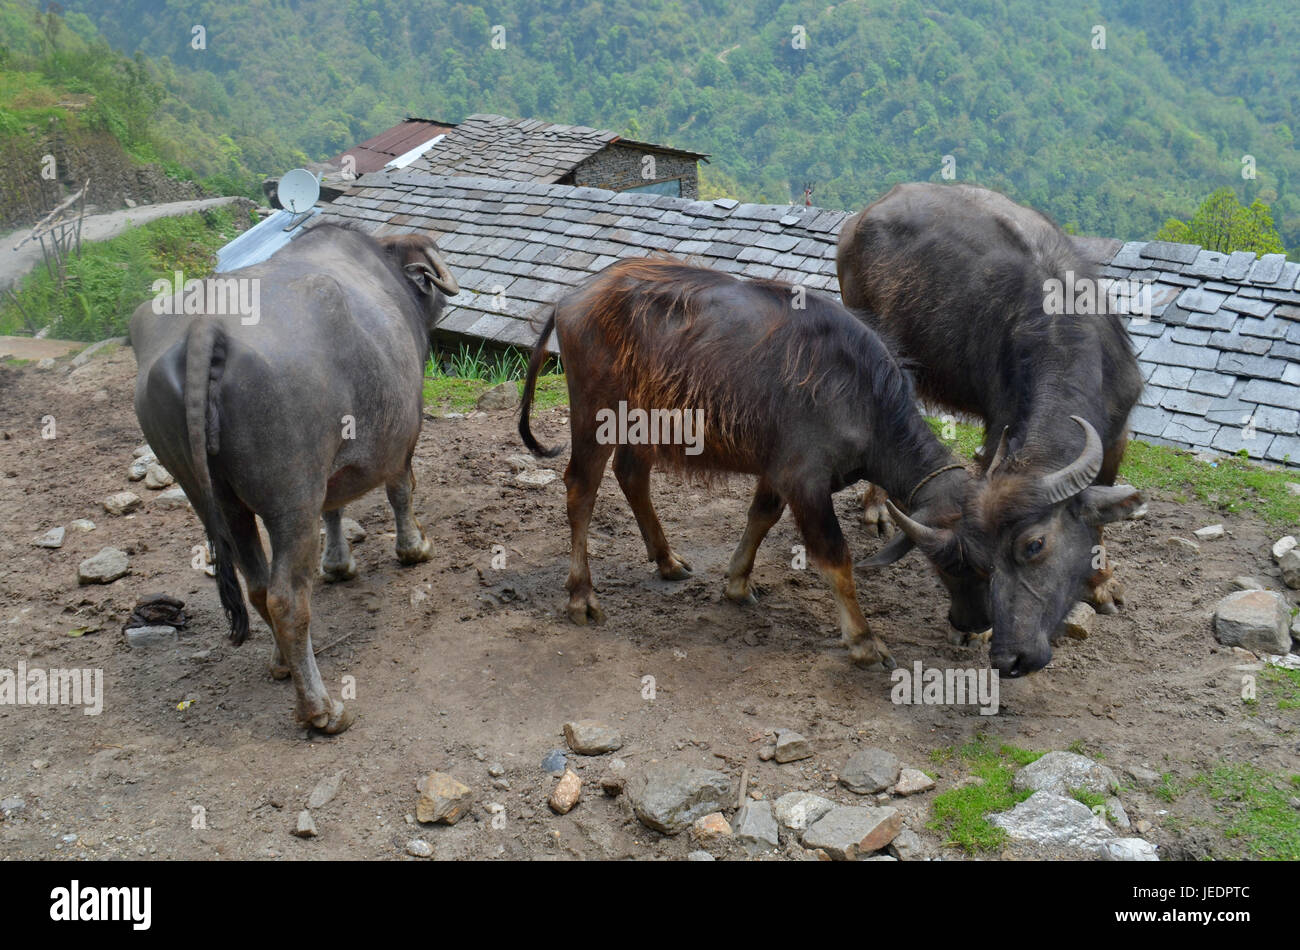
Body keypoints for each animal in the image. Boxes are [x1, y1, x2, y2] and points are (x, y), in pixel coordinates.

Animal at [130, 224, 458, 733]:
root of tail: (204, 328)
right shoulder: (402, 436)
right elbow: (400, 490)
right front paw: (414, 548)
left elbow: (336, 508)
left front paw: (338, 564)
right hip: (291, 500)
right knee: (286, 599)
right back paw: (322, 710)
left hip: (220, 504)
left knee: (259, 587)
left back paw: (284, 662)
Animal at [518, 256, 999, 670]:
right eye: (952, 565)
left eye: (999, 563)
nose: (976, 627)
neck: (862, 397)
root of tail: (572, 298)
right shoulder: (805, 481)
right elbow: (835, 557)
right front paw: (865, 641)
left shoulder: (777, 471)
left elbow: (761, 516)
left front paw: (736, 582)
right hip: (595, 415)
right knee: (581, 489)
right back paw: (582, 597)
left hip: (643, 421)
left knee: (632, 475)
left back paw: (667, 561)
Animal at [836, 182, 1146, 676]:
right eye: (985, 562)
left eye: (1034, 545)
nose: (1008, 656)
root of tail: (867, 214)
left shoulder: (1118, 432)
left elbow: (1099, 518)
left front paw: (1102, 584)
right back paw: (876, 507)